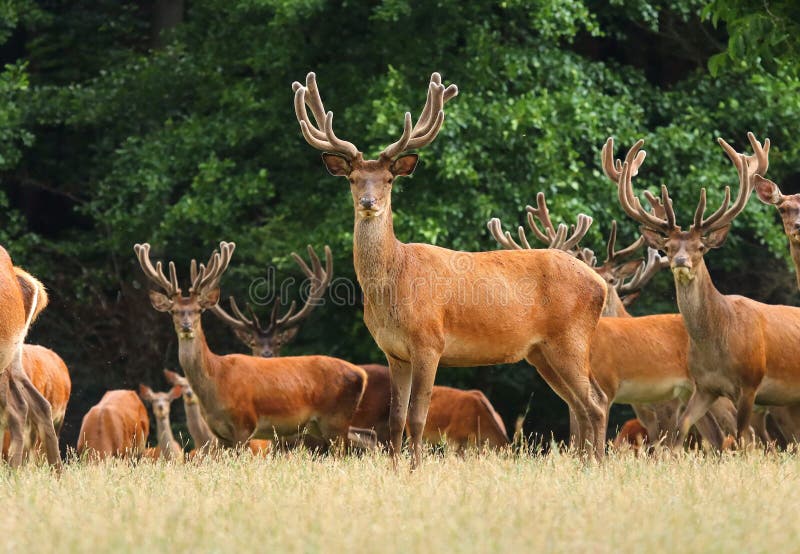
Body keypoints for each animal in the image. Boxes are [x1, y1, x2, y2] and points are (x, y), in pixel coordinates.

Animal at [134, 241, 377, 450]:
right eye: (173, 311)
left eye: (198, 310)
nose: (186, 326)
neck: (216, 380)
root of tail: (362, 374)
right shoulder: (220, 435)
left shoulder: (244, 424)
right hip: (323, 425)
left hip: (335, 419)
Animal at [293, 71, 609, 464]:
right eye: (353, 179)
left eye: (388, 180)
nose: (368, 202)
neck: (395, 281)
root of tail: (601, 284)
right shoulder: (393, 352)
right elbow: (395, 419)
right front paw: (395, 470)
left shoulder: (429, 340)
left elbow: (417, 416)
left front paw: (416, 469)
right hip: (541, 352)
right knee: (582, 404)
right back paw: (584, 463)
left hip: (570, 337)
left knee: (596, 402)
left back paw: (597, 465)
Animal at [607, 132, 800, 446]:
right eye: (668, 248)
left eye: (700, 247)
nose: (681, 262)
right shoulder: (705, 387)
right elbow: (682, 430)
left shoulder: (749, 385)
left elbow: (742, 439)